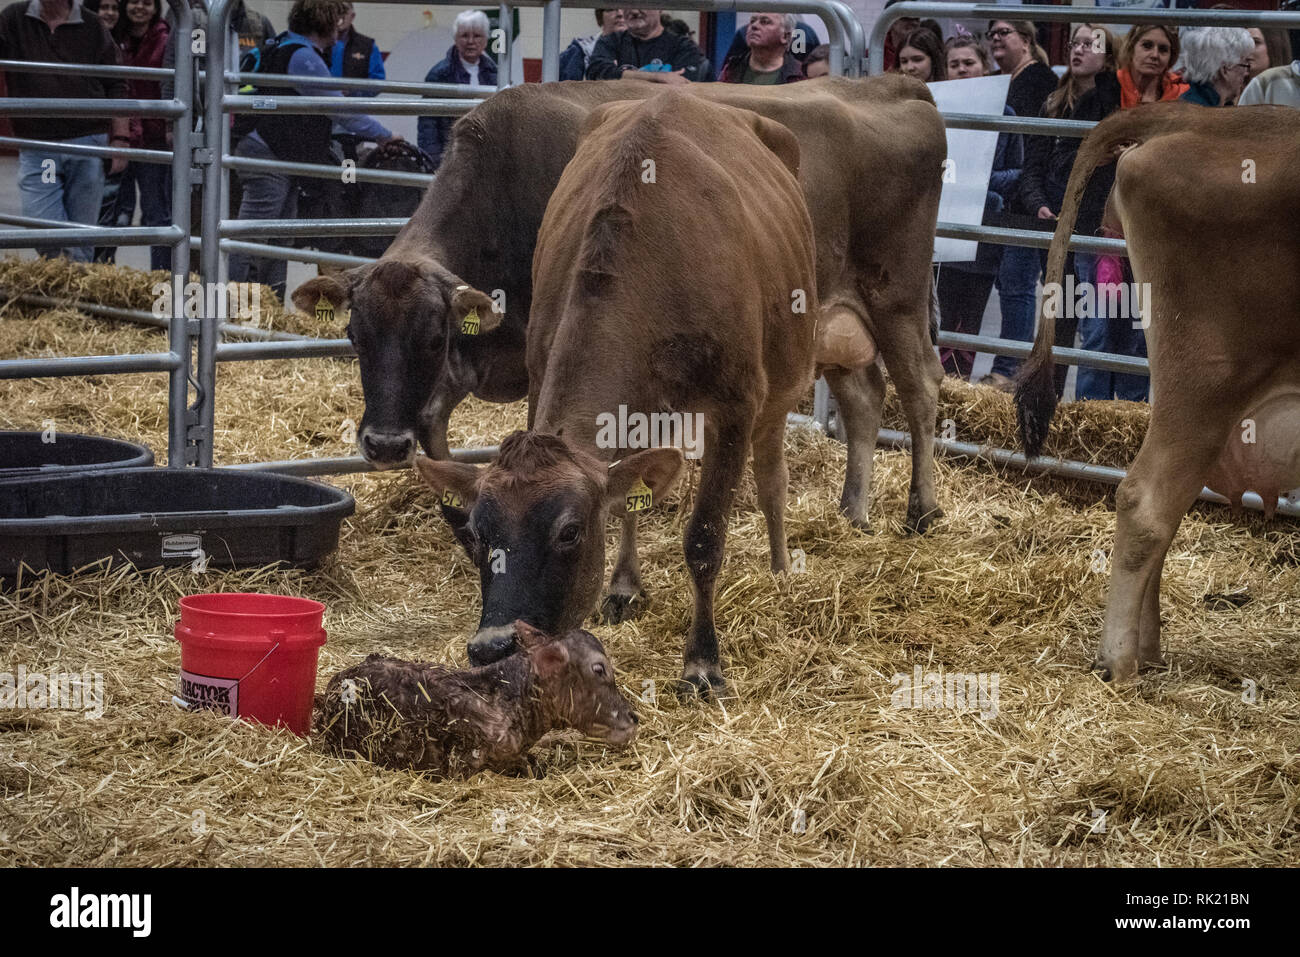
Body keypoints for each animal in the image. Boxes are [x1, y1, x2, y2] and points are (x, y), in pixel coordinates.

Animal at [291, 75, 947, 536]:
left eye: (431, 337)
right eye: (354, 337)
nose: (382, 446)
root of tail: (889, 84)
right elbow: (432, 423)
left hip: (897, 298)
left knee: (920, 387)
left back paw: (921, 511)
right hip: (837, 324)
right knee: (865, 399)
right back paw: (853, 512)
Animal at [413, 91, 819, 696]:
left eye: (569, 532)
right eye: (479, 534)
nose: (492, 645)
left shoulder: (737, 405)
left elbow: (705, 539)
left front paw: (703, 661)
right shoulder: (544, 373)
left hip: (782, 386)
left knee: (772, 476)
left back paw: (781, 571)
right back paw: (625, 585)